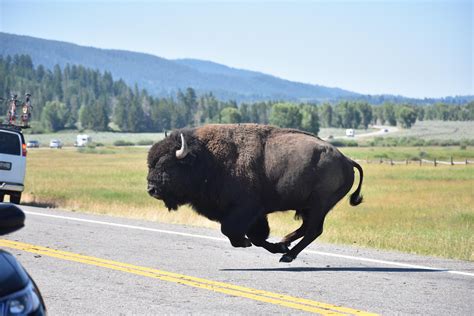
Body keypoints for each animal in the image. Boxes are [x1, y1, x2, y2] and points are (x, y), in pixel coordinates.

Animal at [147, 123, 362, 262]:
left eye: (167, 165)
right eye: (151, 163)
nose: (151, 189)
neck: (207, 158)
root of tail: (347, 160)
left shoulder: (246, 210)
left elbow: (232, 231)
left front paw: (245, 243)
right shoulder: (255, 215)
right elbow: (257, 237)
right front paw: (274, 246)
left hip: (320, 205)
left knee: (313, 230)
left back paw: (288, 256)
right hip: (308, 207)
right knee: (306, 228)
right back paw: (284, 244)